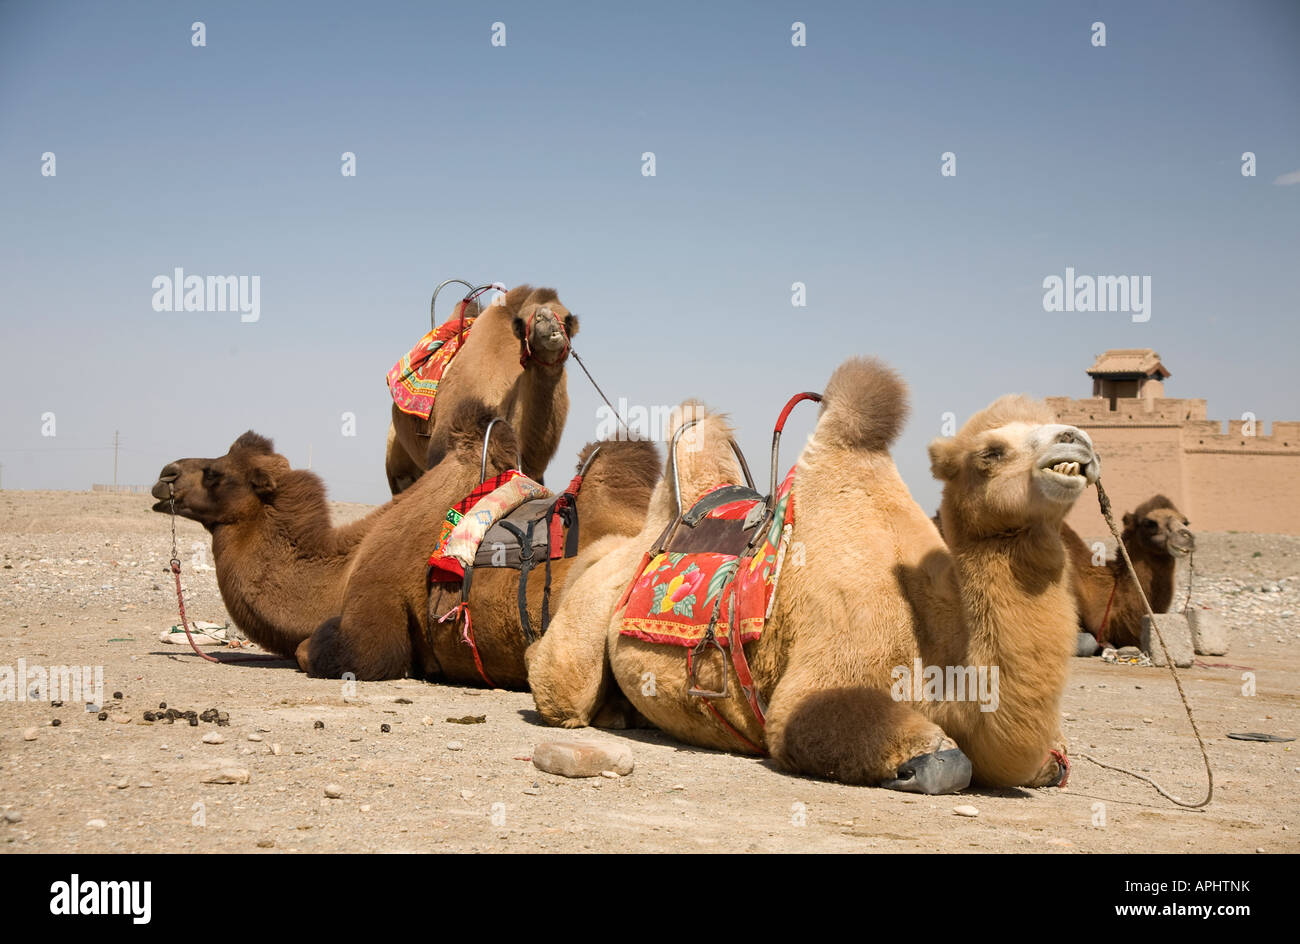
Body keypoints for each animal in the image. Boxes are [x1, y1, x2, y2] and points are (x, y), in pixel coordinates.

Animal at [527, 357, 1100, 793]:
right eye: (990, 452)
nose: (1076, 439)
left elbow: (1050, 762)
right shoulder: (834, 655)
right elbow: (941, 760)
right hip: (581, 631)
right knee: (560, 684)